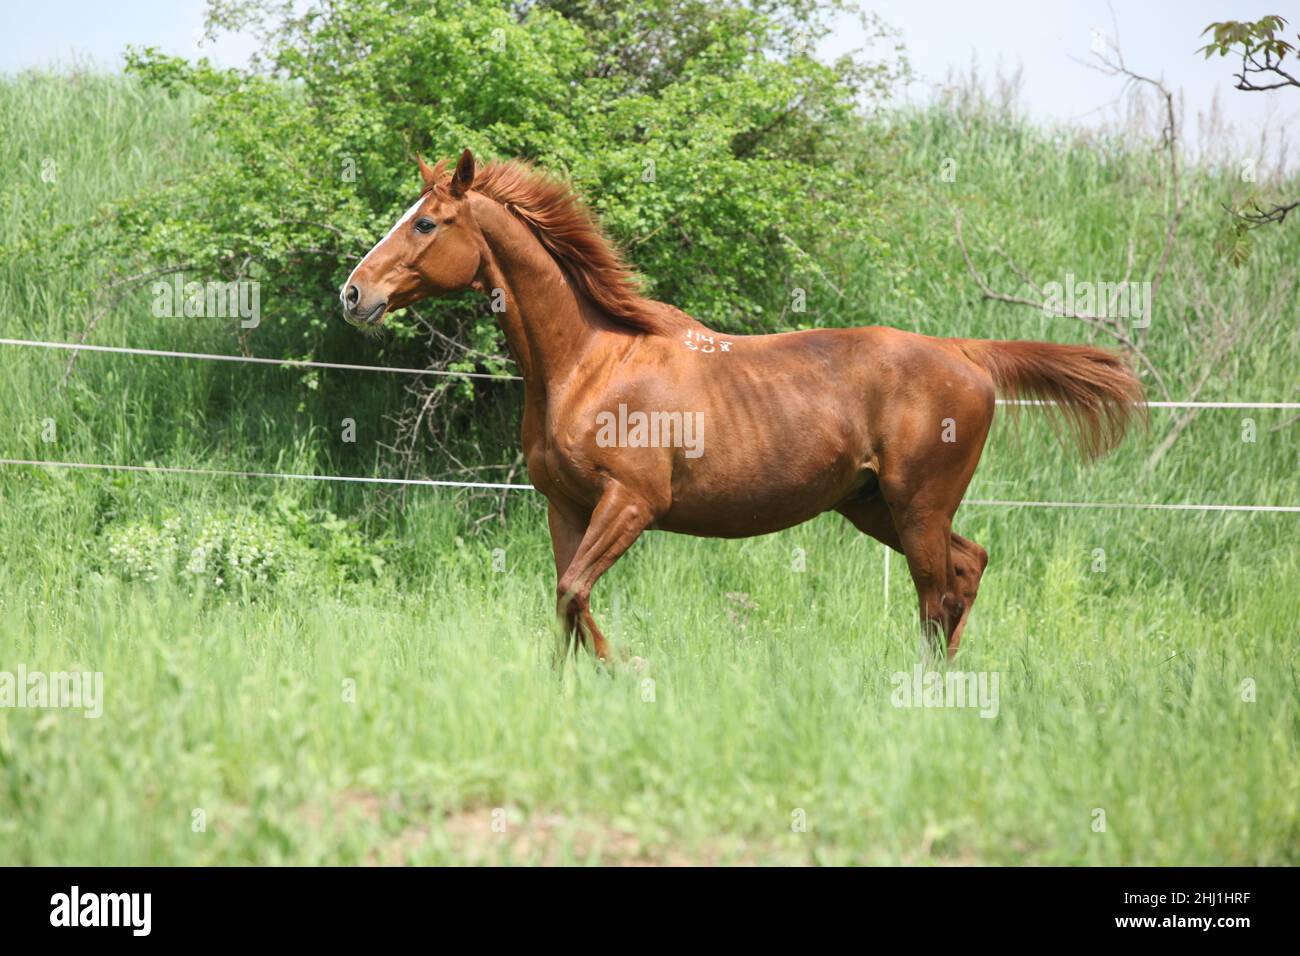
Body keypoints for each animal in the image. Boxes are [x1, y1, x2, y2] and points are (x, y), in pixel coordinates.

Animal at [340, 149, 1143, 661]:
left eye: (425, 223)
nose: (354, 293)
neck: (590, 364)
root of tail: (968, 354)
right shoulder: (565, 507)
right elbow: (565, 602)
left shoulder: (632, 502)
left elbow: (573, 594)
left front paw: (626, 672)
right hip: (873, 506)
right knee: (968, 567)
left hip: (917, 506)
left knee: (937, 594)